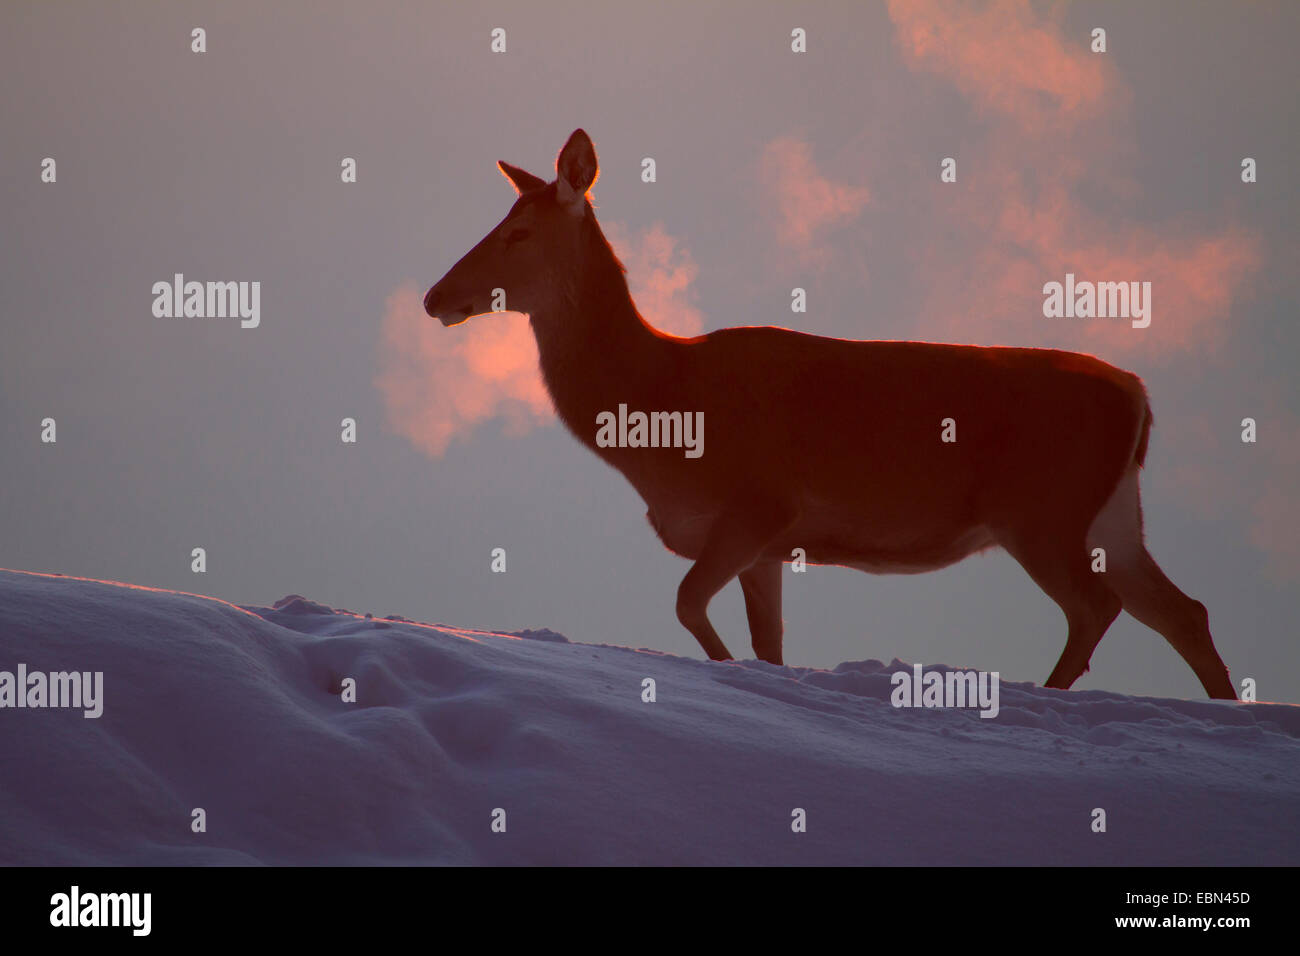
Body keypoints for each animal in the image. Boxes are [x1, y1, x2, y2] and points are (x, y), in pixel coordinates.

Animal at [422, 129, 1236, 700]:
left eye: (518, 234)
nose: (435, 296)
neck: (661, 408)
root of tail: (1139, 395)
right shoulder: (768, 546)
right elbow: (767, 643)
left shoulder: (759, 502)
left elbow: (686, 605)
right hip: (1109, 516)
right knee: (1184, 610)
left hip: (1043, 510)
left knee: (1099, 607)